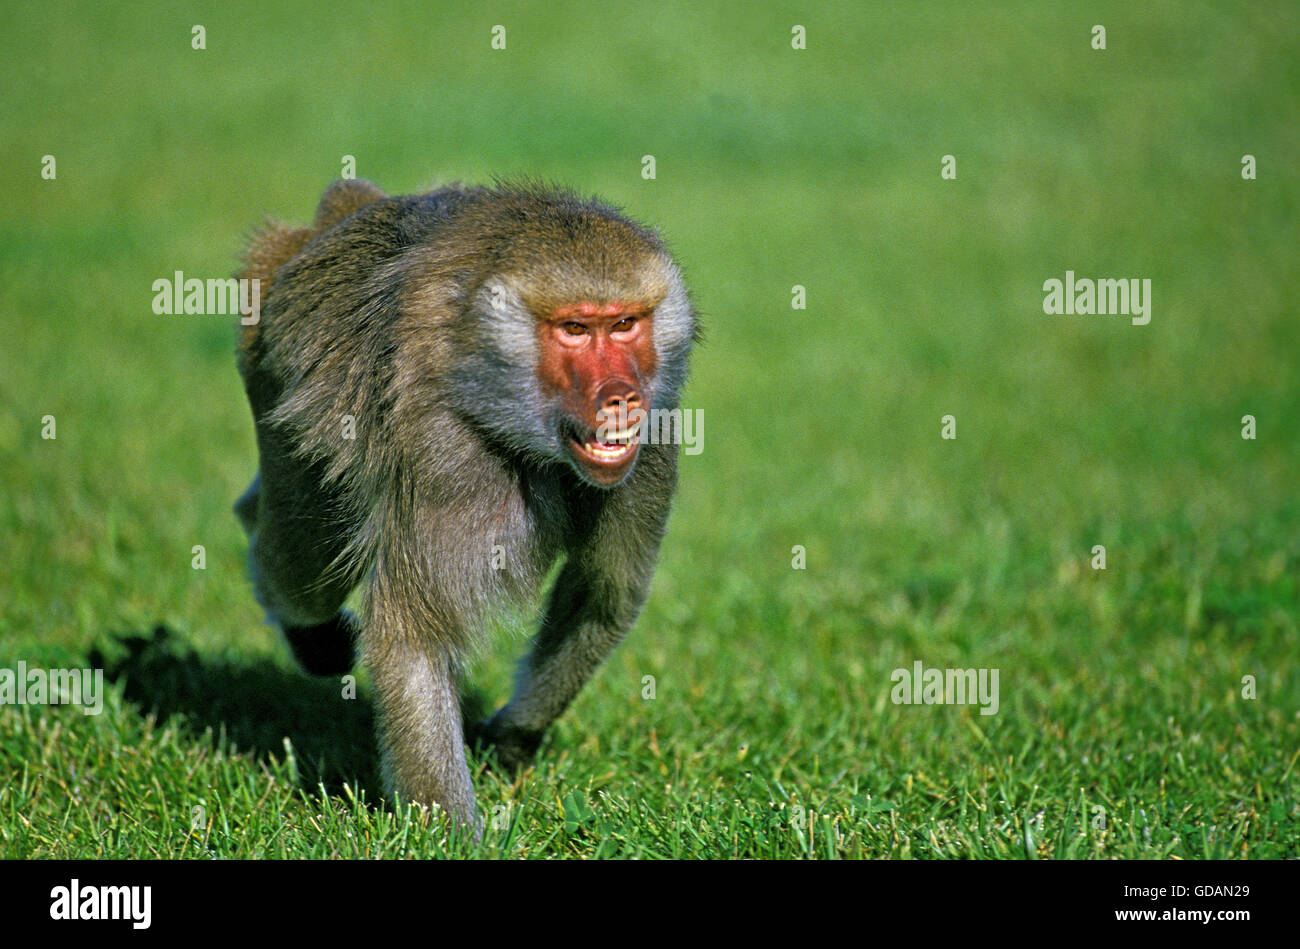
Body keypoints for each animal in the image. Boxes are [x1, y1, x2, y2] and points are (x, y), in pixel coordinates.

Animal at [233, 178, 697, 834]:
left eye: (626, 324)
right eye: (576, 330)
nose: (622, 397)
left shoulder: (652, 440)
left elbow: (603, 593)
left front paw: (514, 734)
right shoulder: (446, 455)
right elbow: (414, 637)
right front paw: (451, 831)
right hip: (276, 376)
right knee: (307, 569)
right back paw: (308, 630)